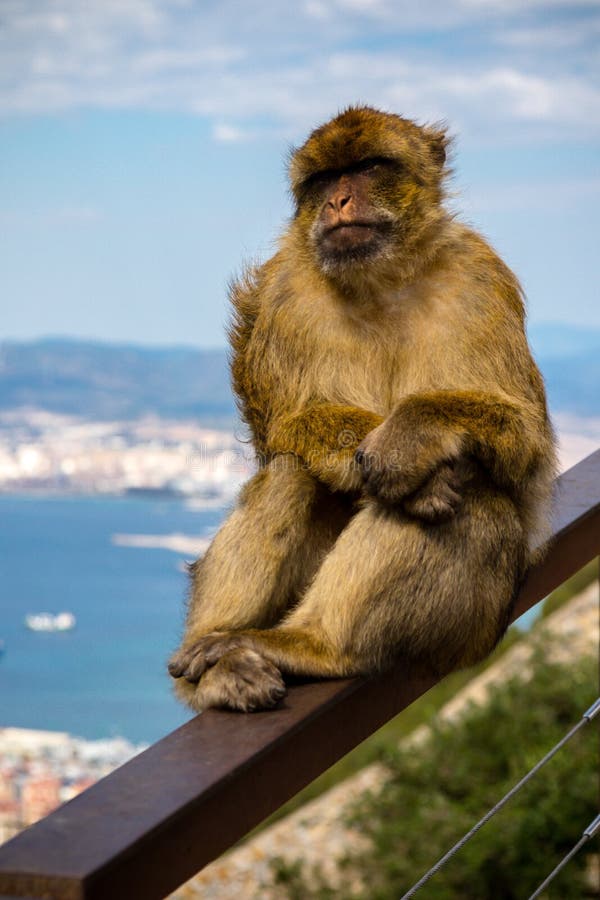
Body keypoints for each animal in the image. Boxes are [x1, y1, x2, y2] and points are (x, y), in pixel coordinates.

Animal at [168, 106, 557, 713]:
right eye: (326, 178)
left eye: (370, 167)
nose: (338, 201)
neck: (380, 282)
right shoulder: (285, 292)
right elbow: (287, 425)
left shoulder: (480, 277)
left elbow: (524, 436)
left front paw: (409, 437)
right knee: (291, 473)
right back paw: (222, 663)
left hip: (470, 626)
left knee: (472, 493)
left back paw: (319, 646)